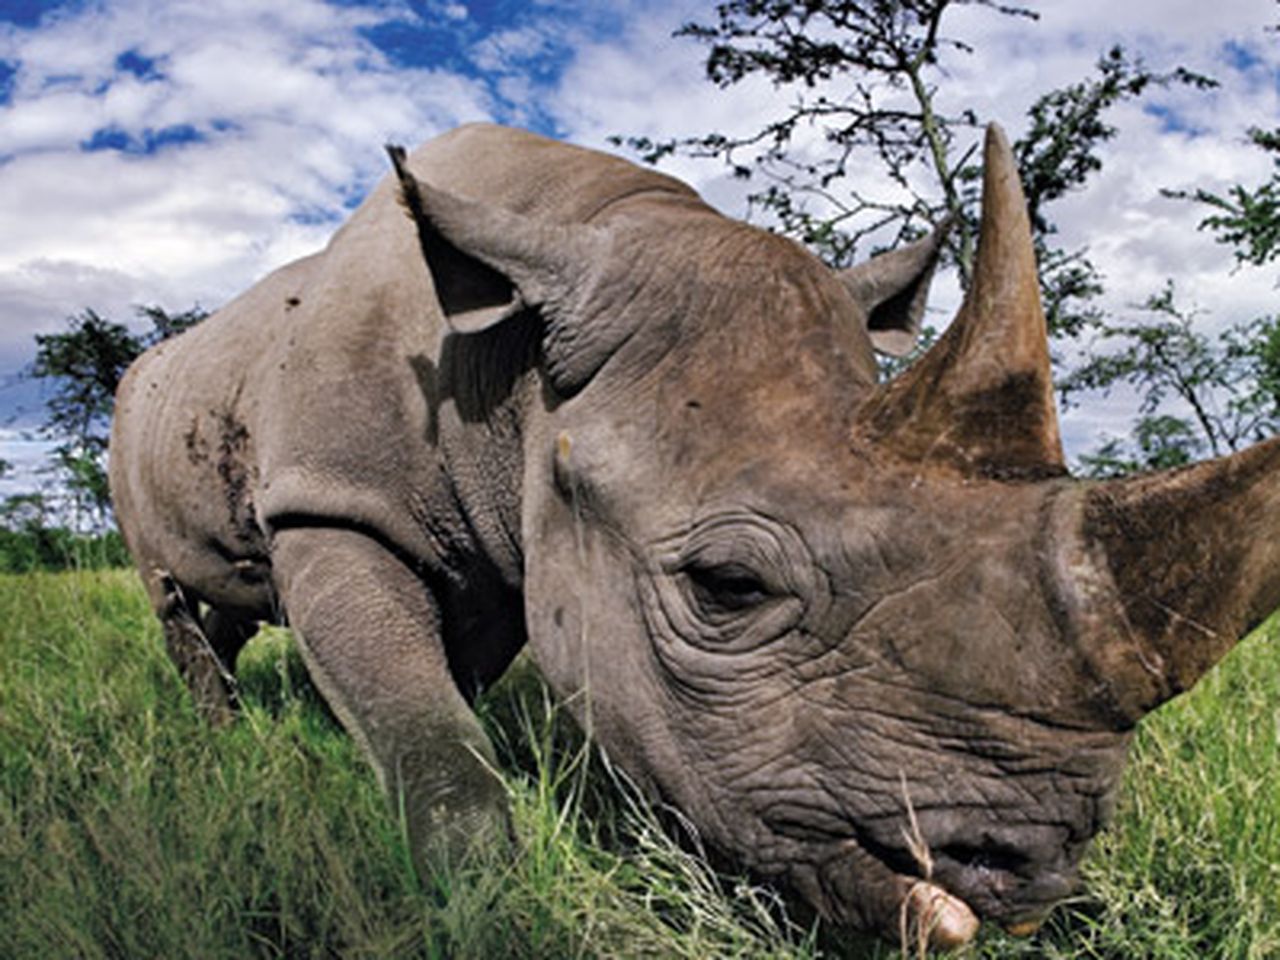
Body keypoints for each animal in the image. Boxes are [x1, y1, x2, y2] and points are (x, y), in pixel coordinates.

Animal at [109, 121, 1280, 949]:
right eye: (726, 587)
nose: (1022, 868)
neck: (514, 377)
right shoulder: (332, 498)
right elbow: (428, 729)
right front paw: (486, 899)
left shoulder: (503, 555)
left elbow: (446, 681)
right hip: (140, 411)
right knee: (170, 590)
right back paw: (218, 735)